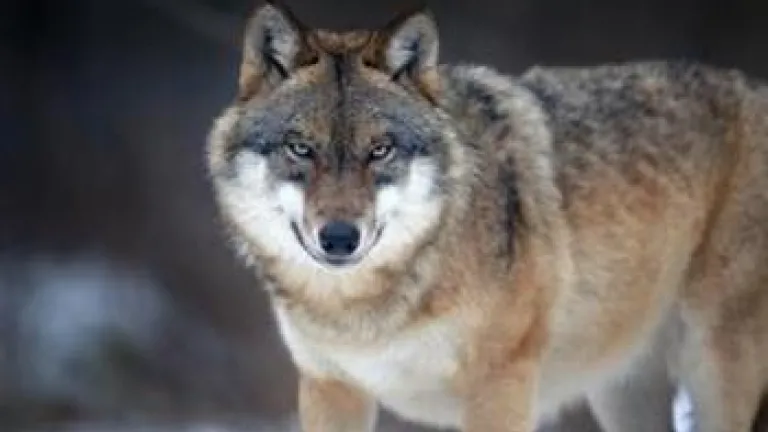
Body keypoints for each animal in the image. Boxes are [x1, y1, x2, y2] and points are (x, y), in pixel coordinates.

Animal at [205, 1, 768, 431]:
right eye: (301, 148)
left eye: (380, 150)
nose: (340, 238)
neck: (365, 312)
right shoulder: (331, 387)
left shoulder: (500, 383)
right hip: (622, 390)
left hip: (714, 368)